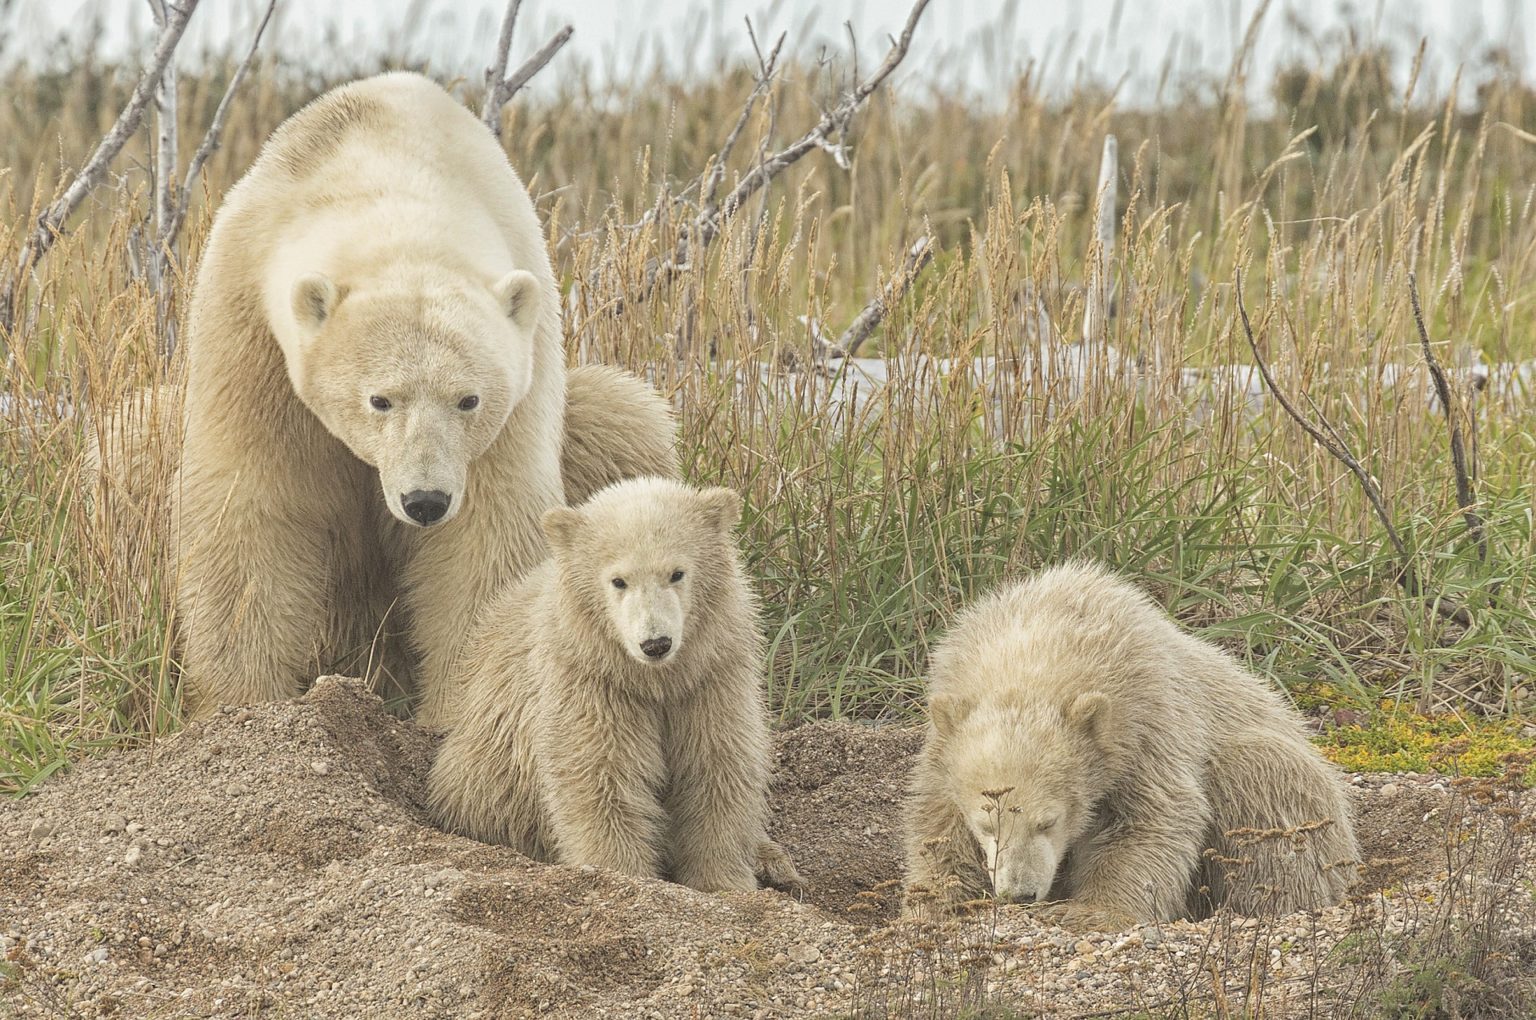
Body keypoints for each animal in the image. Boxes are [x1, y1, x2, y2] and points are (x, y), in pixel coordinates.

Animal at [162, 71, 675, 727]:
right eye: (379, 400)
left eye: (469, 400)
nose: (425, 501)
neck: (385, 157)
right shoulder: (250, 333)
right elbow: (253, 503)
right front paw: (242, 709)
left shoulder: (514, 385)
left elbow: (484, 532)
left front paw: (462, 706)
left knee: (624, 423)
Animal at [427, 476, 802, 894]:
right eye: (618, 581)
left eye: (677, 573)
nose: (656, 643)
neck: (654, 680)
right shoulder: (590, 681)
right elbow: (601, 772)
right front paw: (622, 873)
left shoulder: (710, 676)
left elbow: (716, 763)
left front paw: (723, 880)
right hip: (483, 782)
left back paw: (776, 863)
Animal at [902, 562, 1358, 927]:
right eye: (986, 824)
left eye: (1048, 821)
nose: (1022, 893)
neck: (1041, 641)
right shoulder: (944, 727)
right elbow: (937, 824)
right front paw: (935, 904)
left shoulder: (1145, 721)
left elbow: (1152, 818)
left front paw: (1091, 912)